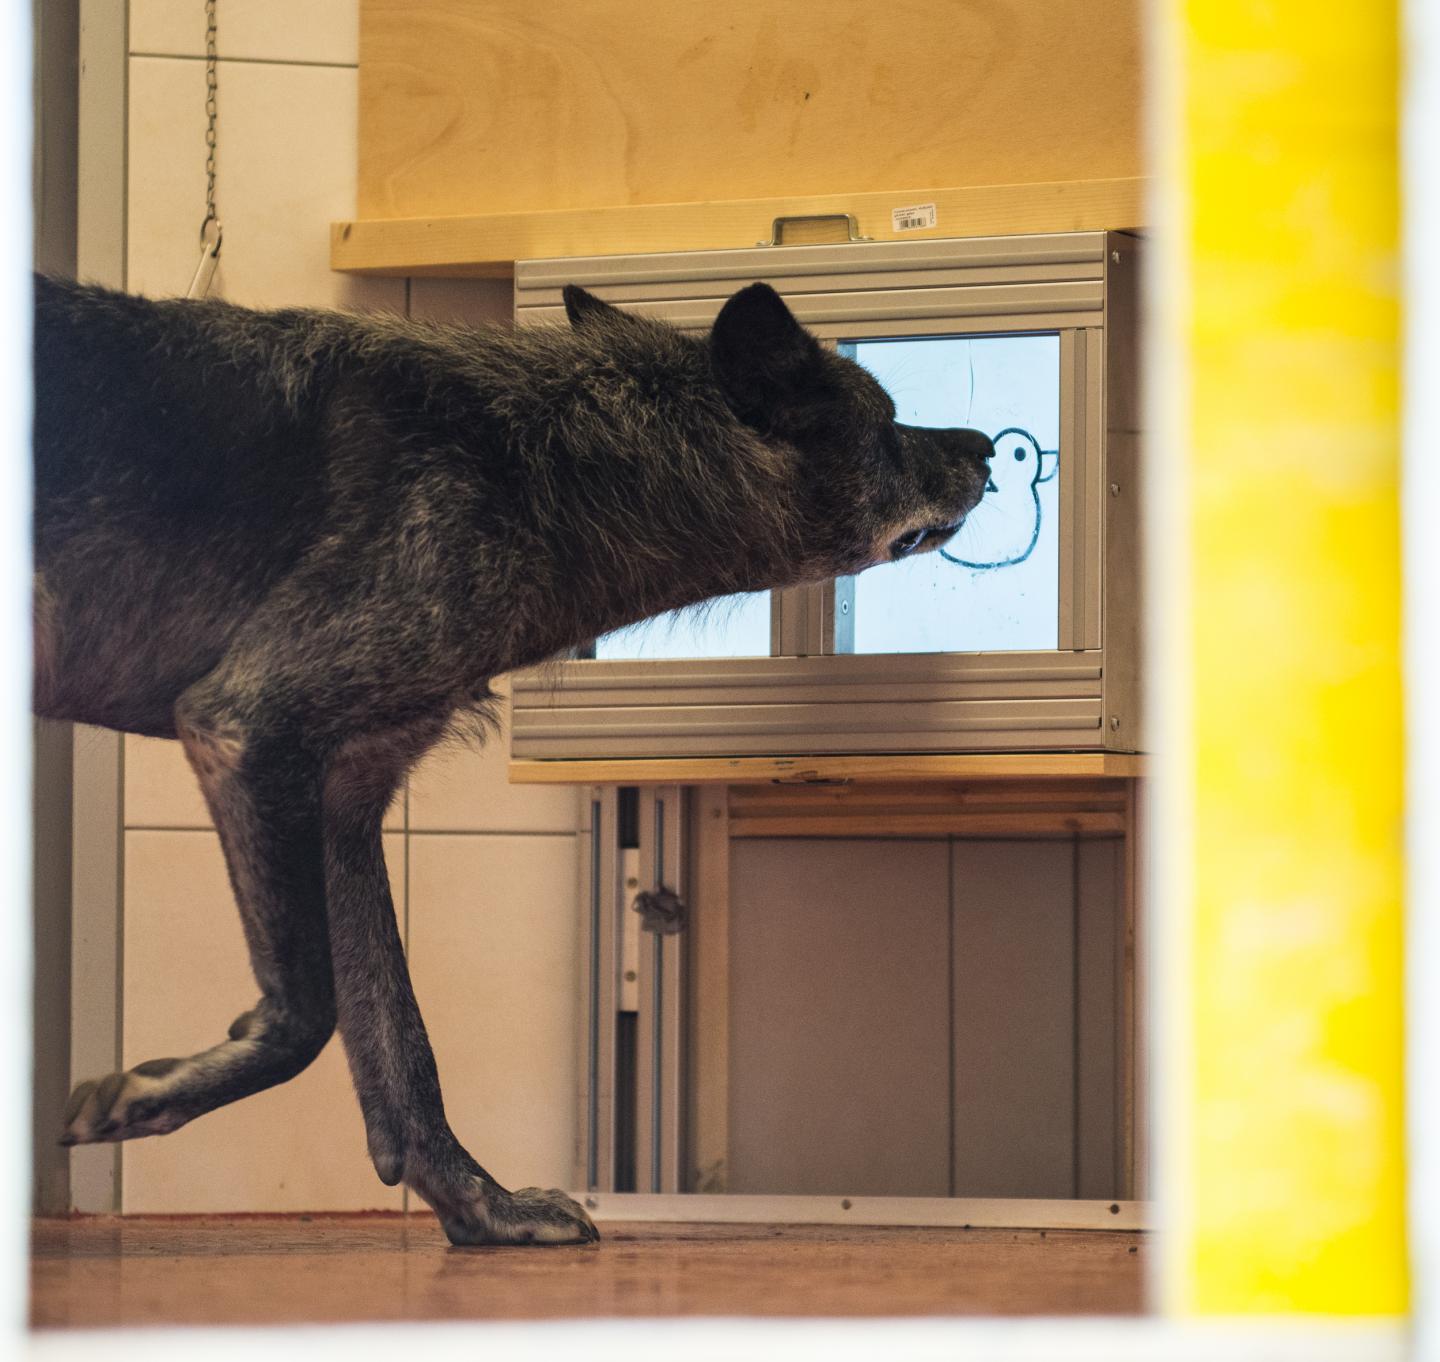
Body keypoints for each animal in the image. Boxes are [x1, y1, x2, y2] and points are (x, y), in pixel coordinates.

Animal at [33, 274, 993, 1244]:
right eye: (888, 425)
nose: (989, 447)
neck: (547, 461)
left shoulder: (342, 801)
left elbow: (398, 1044)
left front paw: (483, 1209)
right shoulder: (247, 725)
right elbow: (308, 1011)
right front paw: (144, 1095)